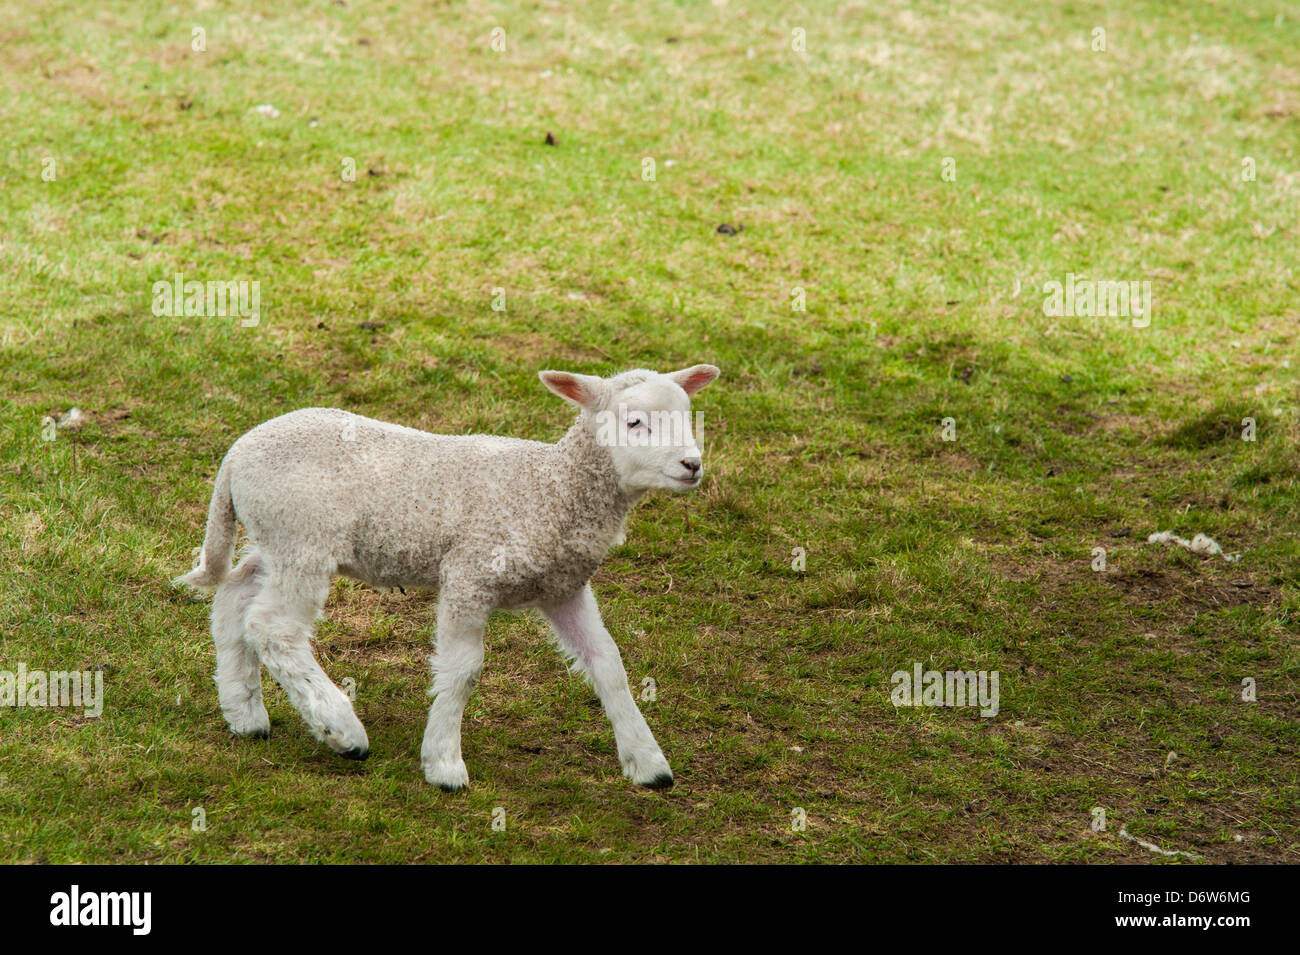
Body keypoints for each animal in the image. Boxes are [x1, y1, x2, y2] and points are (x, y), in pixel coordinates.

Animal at [175, 364, 720, 791]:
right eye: (634, 422)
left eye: (688, 417)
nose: (692, 464)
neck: (550, 488)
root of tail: (237, 453)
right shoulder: (469, 574)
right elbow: (463, 670)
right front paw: (443, 763)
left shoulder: (564, 588)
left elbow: (608, 664)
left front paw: (647, 762)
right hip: (302, 537)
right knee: (273, 628)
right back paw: (340, 728)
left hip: (278, 538)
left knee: (234, 598)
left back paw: (244, 712)